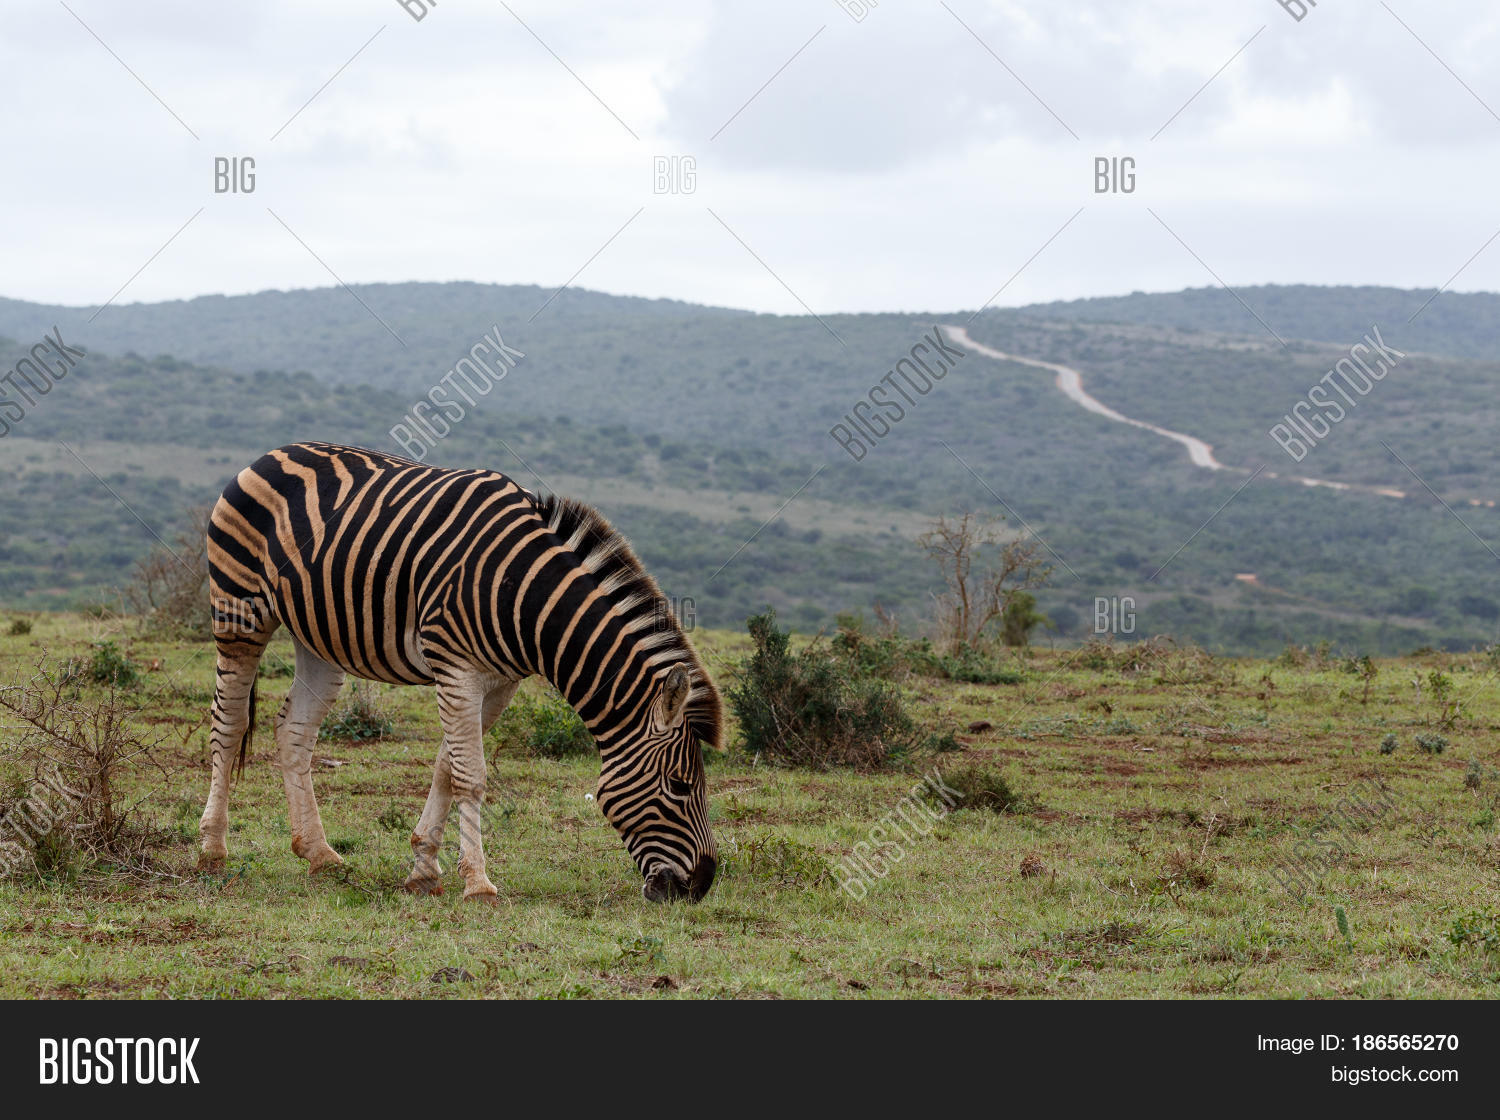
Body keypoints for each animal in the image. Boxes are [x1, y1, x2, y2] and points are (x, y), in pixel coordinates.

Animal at [198, 441, 720, 902]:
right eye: (680, 786)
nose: (701, 886)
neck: (522, 594)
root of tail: (272, 452)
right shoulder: (456, 669)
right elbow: (472, 776)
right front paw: (479, 884)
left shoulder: (499, 683)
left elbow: (448, 768)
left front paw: (423, 869)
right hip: (239, 611)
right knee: (229, 724)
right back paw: (213, 853)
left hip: (319, 637)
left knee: (294, 730)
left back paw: (319, 854)